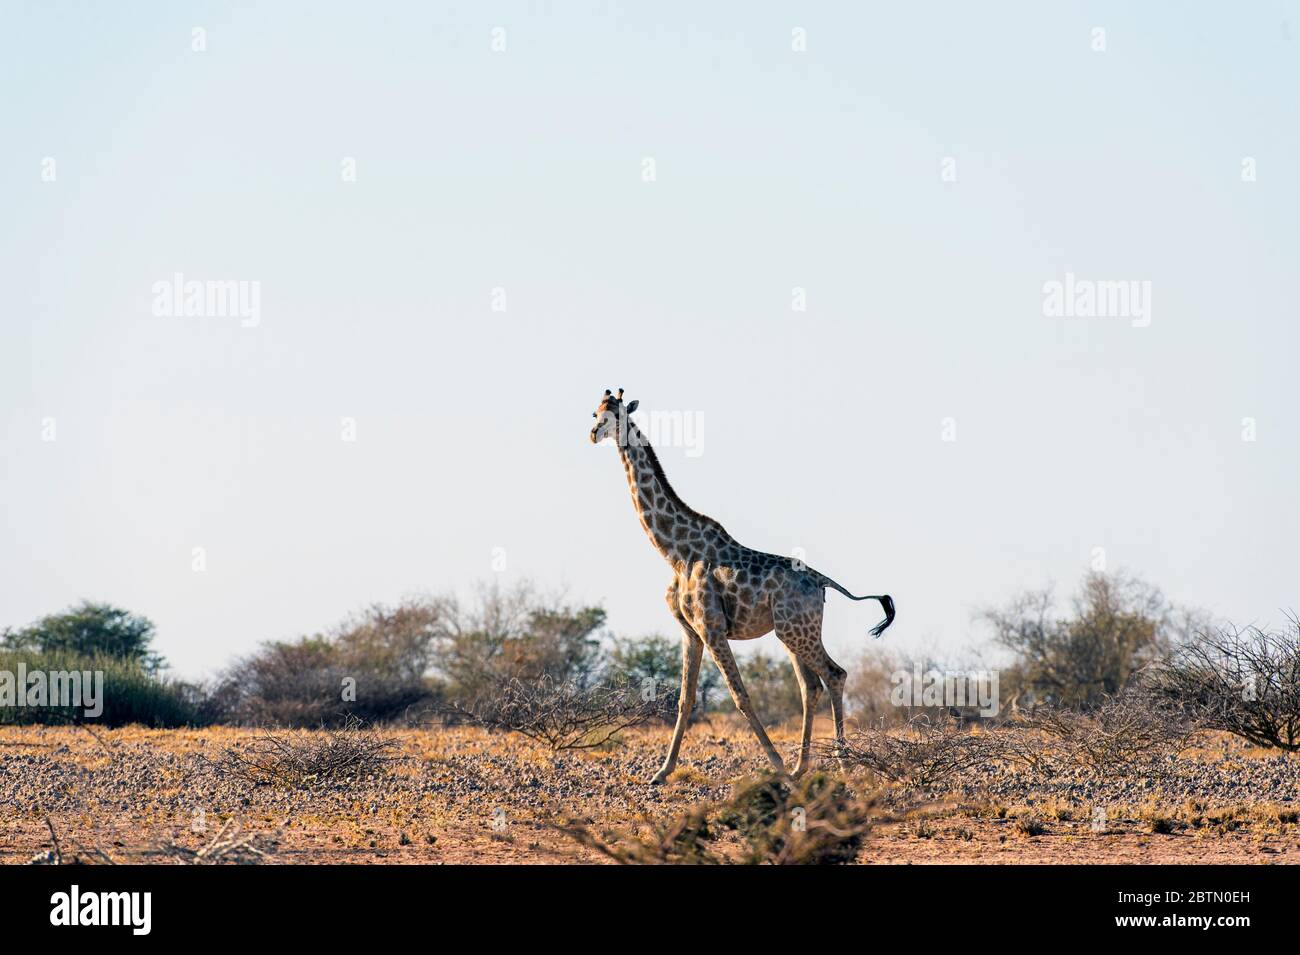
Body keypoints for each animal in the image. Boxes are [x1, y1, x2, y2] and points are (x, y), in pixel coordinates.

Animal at [589, 388, 895, 783]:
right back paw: (801, 766)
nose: (593, 433)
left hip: (797, 631)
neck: (675, 551)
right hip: (791, 632)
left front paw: (776, 764)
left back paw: (839, 764)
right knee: (810, 686)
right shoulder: (690, 631)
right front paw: (661, 772)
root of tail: (823, 582)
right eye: (595, 412)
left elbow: (740, 696)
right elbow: (685, 699)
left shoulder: (712, 627)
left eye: (613, 416)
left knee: (834, 675)